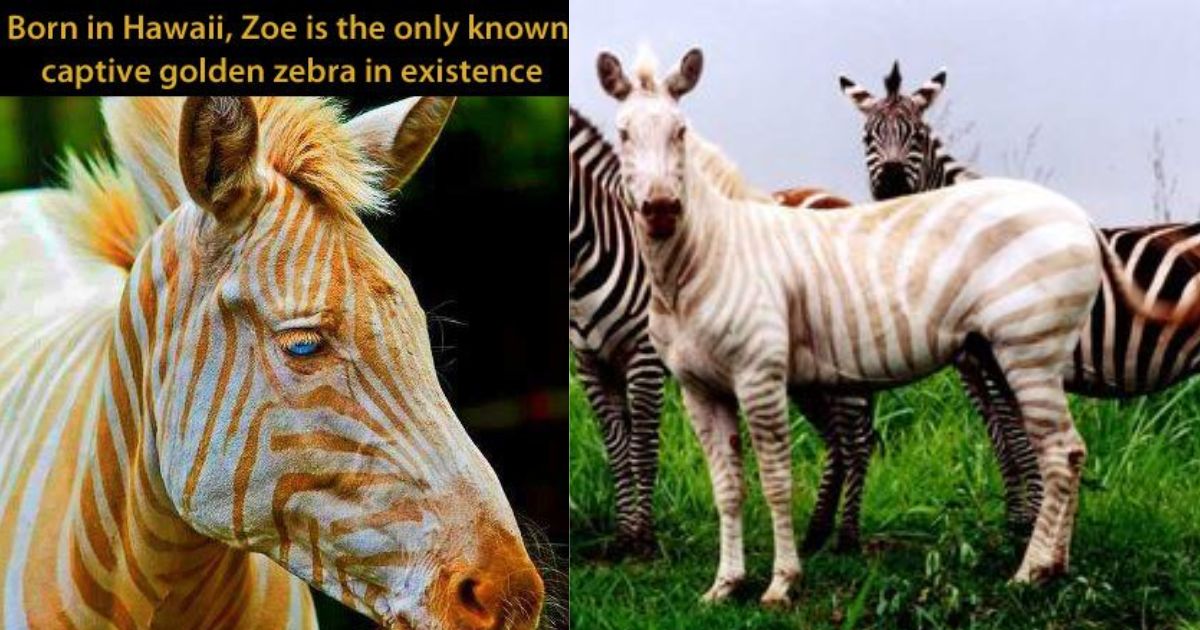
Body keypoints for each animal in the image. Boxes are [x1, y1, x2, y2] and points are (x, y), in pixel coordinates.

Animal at [839, 61, 1200, 534]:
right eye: (868, 138)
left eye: (916, 136)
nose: (892, 185)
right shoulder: (975, 365)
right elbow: (1001, 437)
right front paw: (1019, 516)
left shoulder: (1001, 356)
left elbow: (1016, 436)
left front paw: (1028, 521)